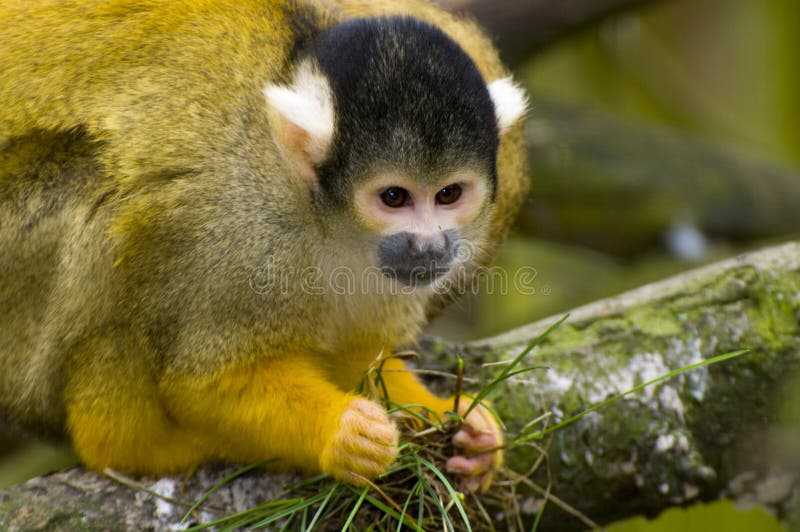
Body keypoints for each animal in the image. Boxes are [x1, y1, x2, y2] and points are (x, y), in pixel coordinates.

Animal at [0, 0, 528, 493]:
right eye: (394, 197)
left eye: (449, 194)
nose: (430, 246)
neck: (320, 216)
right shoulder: (236, 225)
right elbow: (206, 382)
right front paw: (340, 433)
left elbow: (357, 352)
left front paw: (450, 419)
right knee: (109, 214)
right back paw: (127, 446)